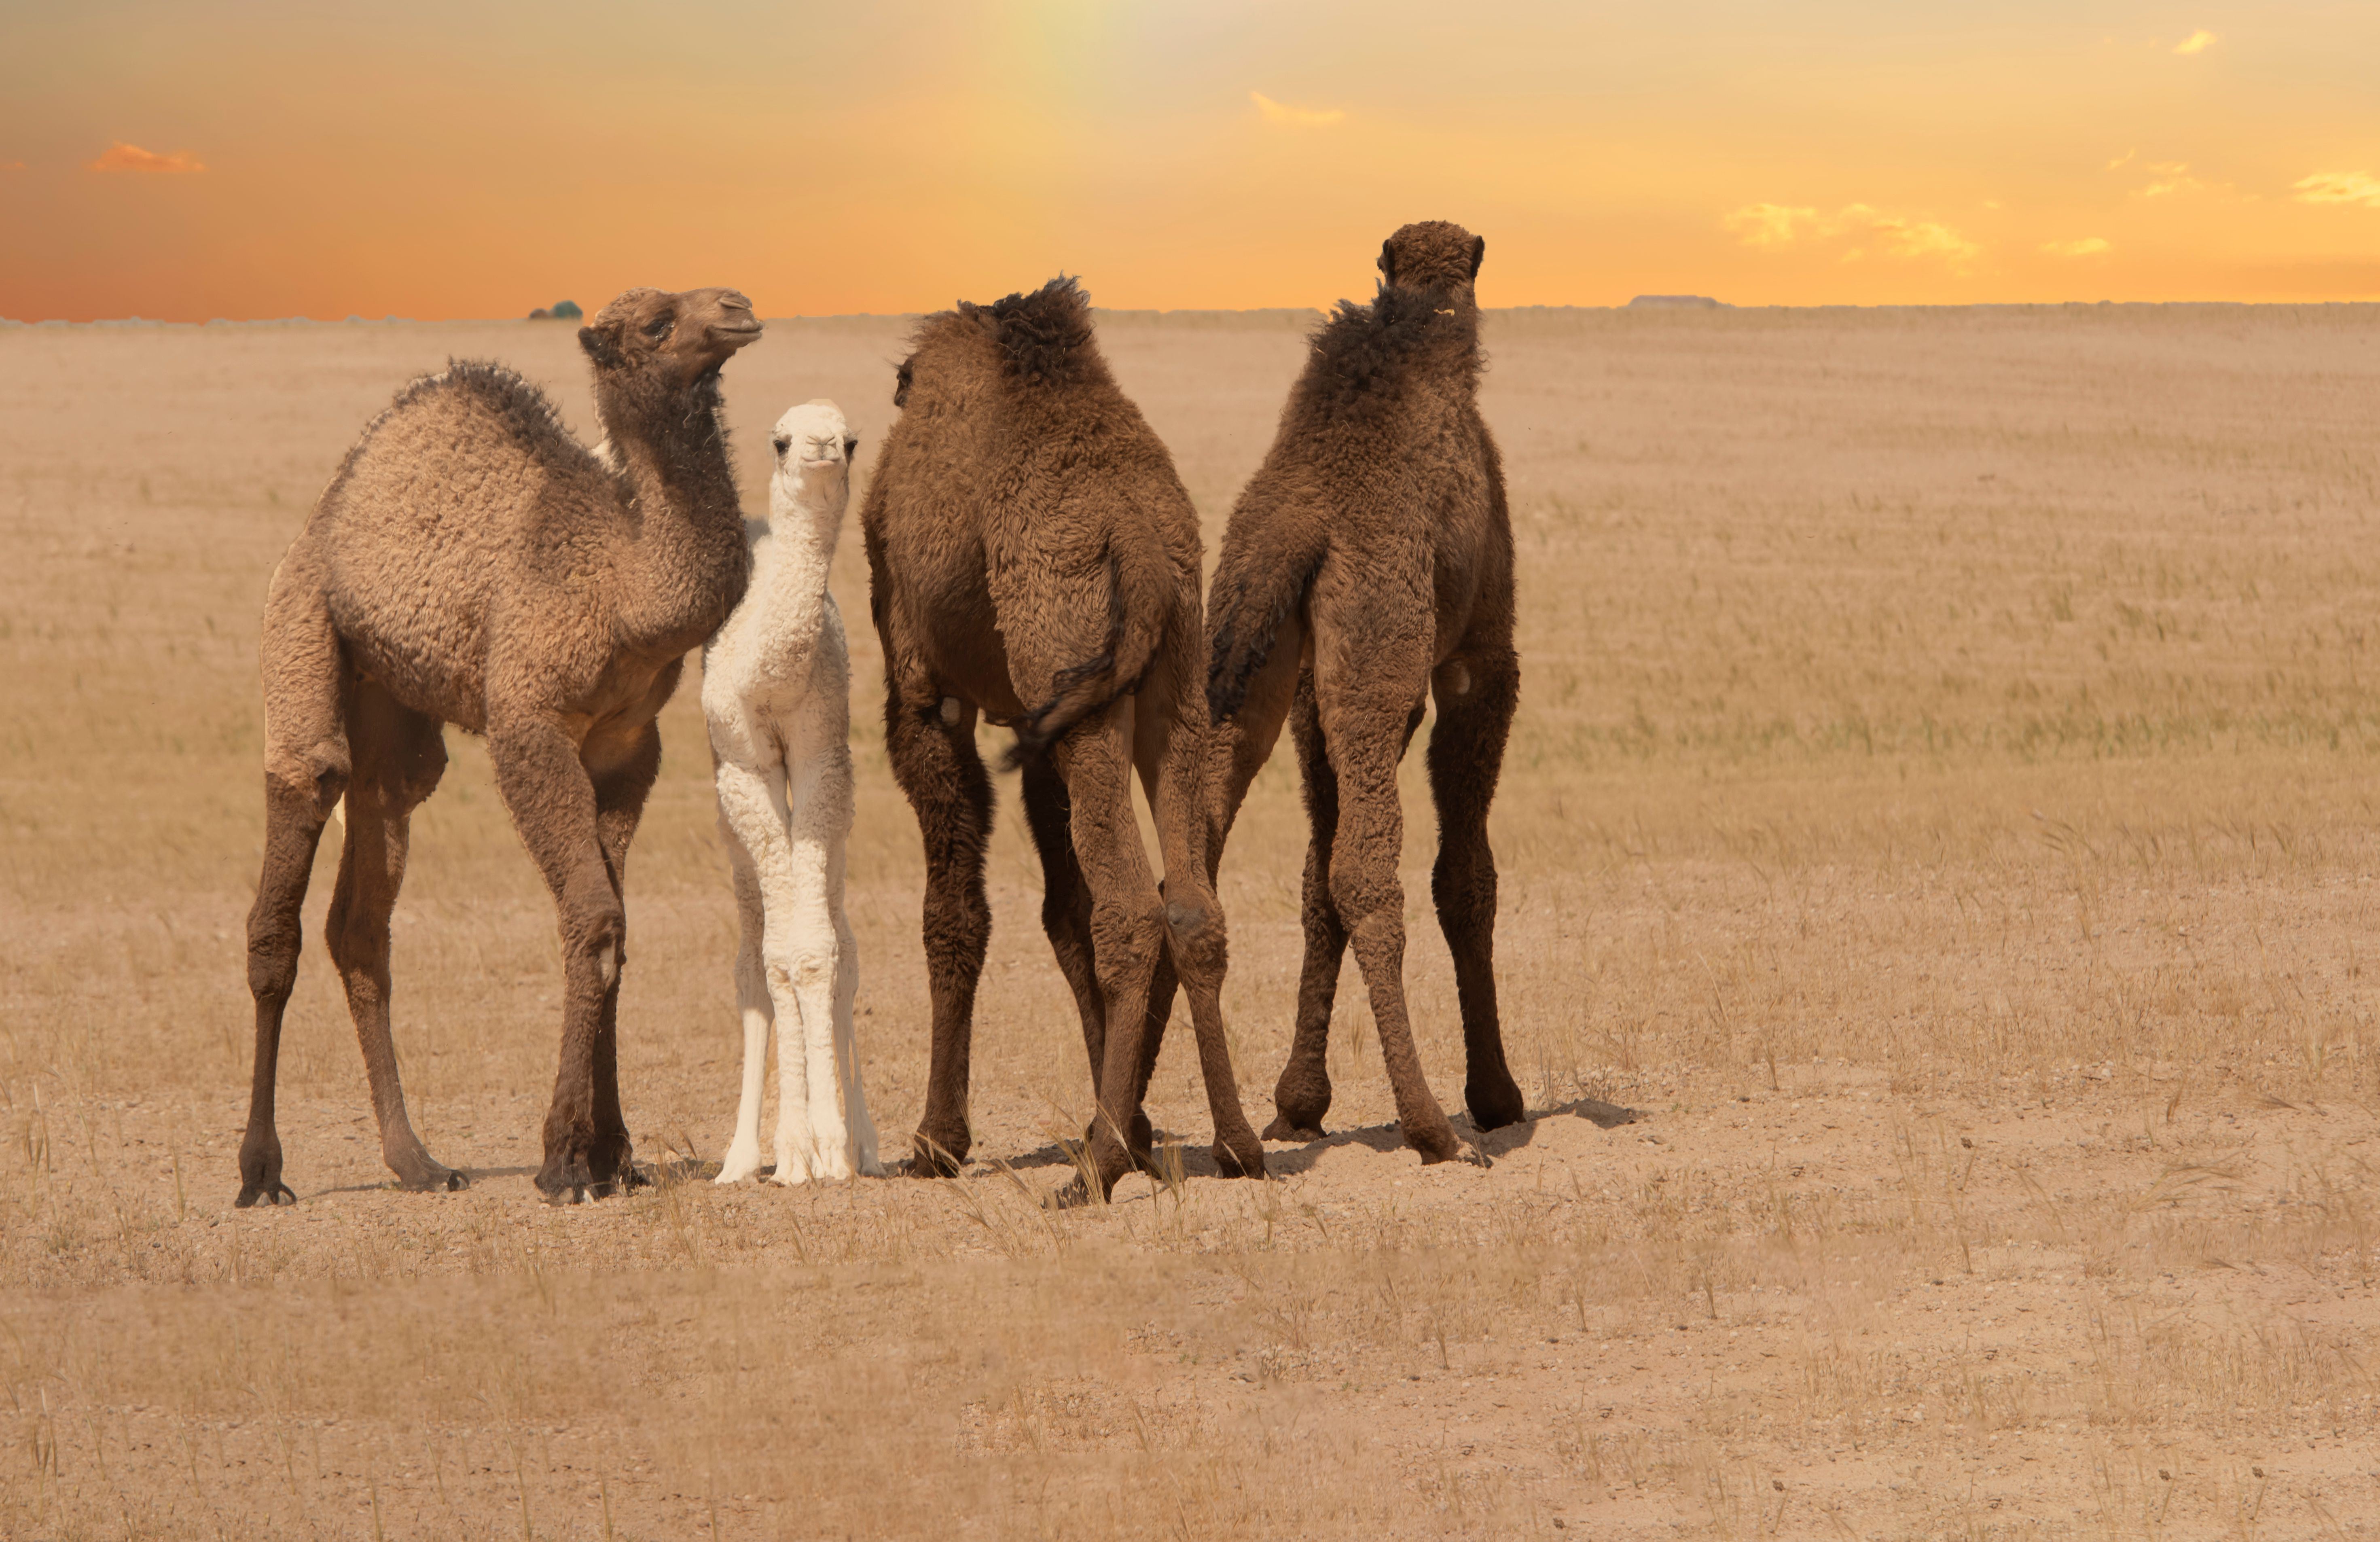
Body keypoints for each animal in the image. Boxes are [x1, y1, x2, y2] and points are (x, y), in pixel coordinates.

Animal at [237, 285, 764, 1207]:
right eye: (657, 323)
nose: (738, 307)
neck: (622, 582)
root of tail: (326, 514)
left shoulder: (627, 748)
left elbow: (615, 930)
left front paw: (612, 1155)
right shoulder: (529, 723)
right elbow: (592, 920)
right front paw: (564, 1162)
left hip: (395, 730)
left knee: (361, 918)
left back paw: (417, 1162)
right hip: (299, 628)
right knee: (293, 858)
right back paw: (261, 1172)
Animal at [860, 276, 1265, 1201]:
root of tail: (1141, 543)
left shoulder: (926, 693)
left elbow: (956, 911)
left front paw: (936, 1141)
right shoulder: (1037, 712)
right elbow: (1060, 910)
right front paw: (1139, 1127)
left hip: (1077, 675)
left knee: (1129, 908)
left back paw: (1097, 1169)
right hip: (1163, 687)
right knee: (1189, 904)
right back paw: (1234, 1145)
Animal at [1201, 221, 1526, 1162]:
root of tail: (1300, 531)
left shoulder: (1312, 692)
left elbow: (1311, 883)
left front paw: (1298, 1102)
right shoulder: (1478, 658)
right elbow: (1464, 875)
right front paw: (1496, 1094)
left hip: (1239, 660)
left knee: (1197, 869)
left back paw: (1215, 1138)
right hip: (1378, 658)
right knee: (1367, 874)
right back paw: (1433, 1127)